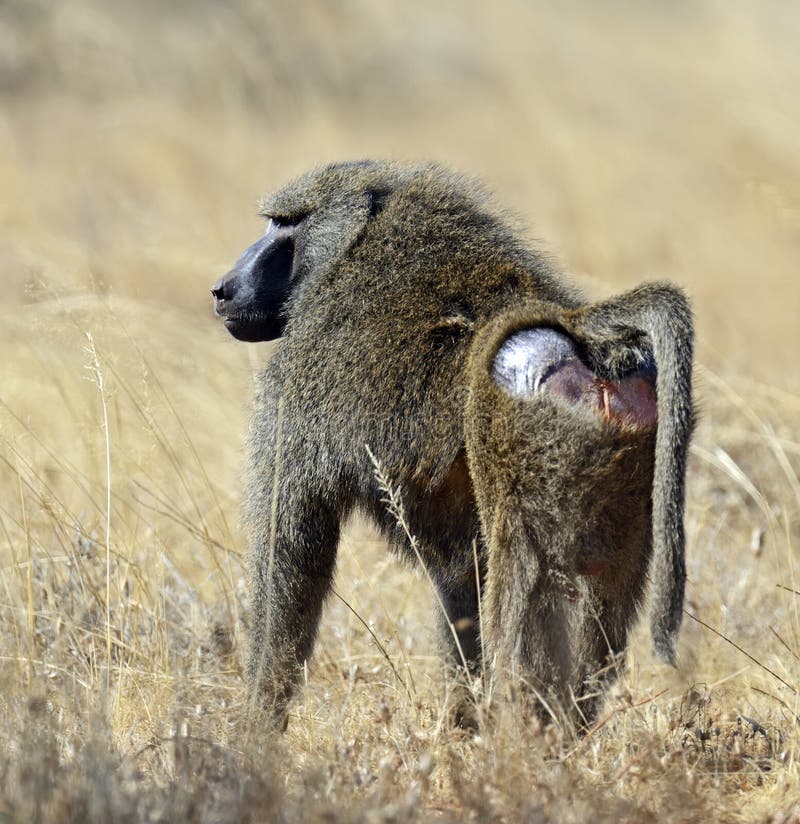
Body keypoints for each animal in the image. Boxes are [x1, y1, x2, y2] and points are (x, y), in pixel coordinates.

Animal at [210, 160, 693, 728]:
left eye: (287, 224)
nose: (222, 289)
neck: (354, 247)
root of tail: (580, 331)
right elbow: (462, 581)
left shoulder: (295, 387)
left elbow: (287, 557)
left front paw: (254, 730)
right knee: (593, 611)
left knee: (526, 592)